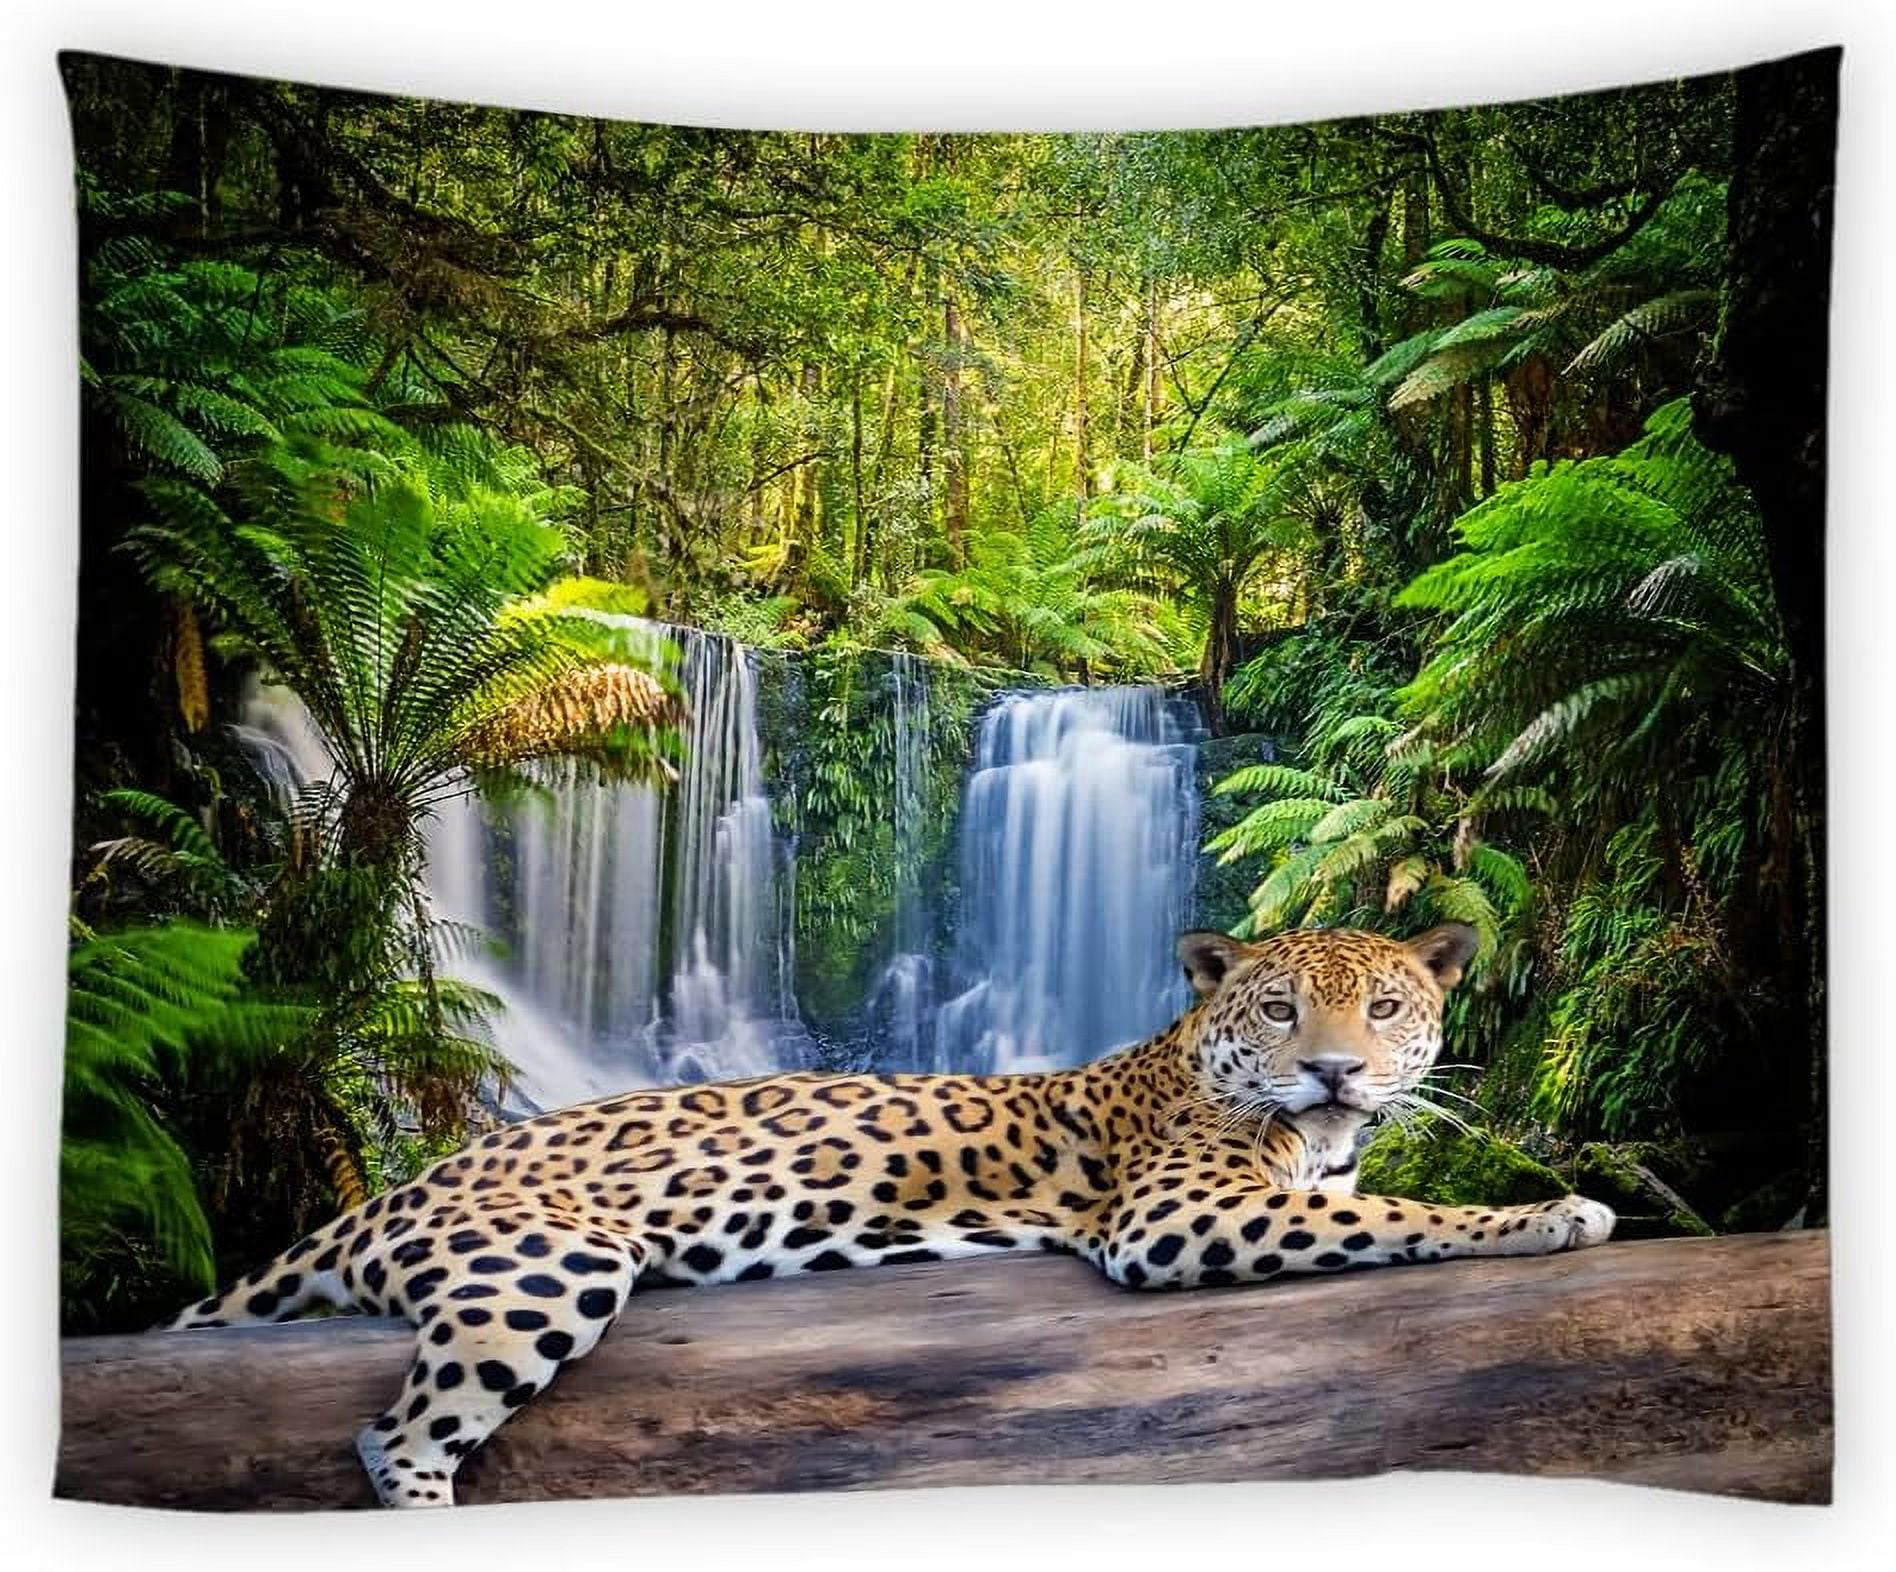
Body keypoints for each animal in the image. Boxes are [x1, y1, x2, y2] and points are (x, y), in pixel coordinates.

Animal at [167, 920, 1615, 1507]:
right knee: (397, 1434)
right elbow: (1413, 1214)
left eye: (1384, 1007)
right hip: (549, 1264)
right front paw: (1555, 1215)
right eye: (1277, 1010)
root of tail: (406, 1181)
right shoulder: (1177, 1214)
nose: (1333, 1071)